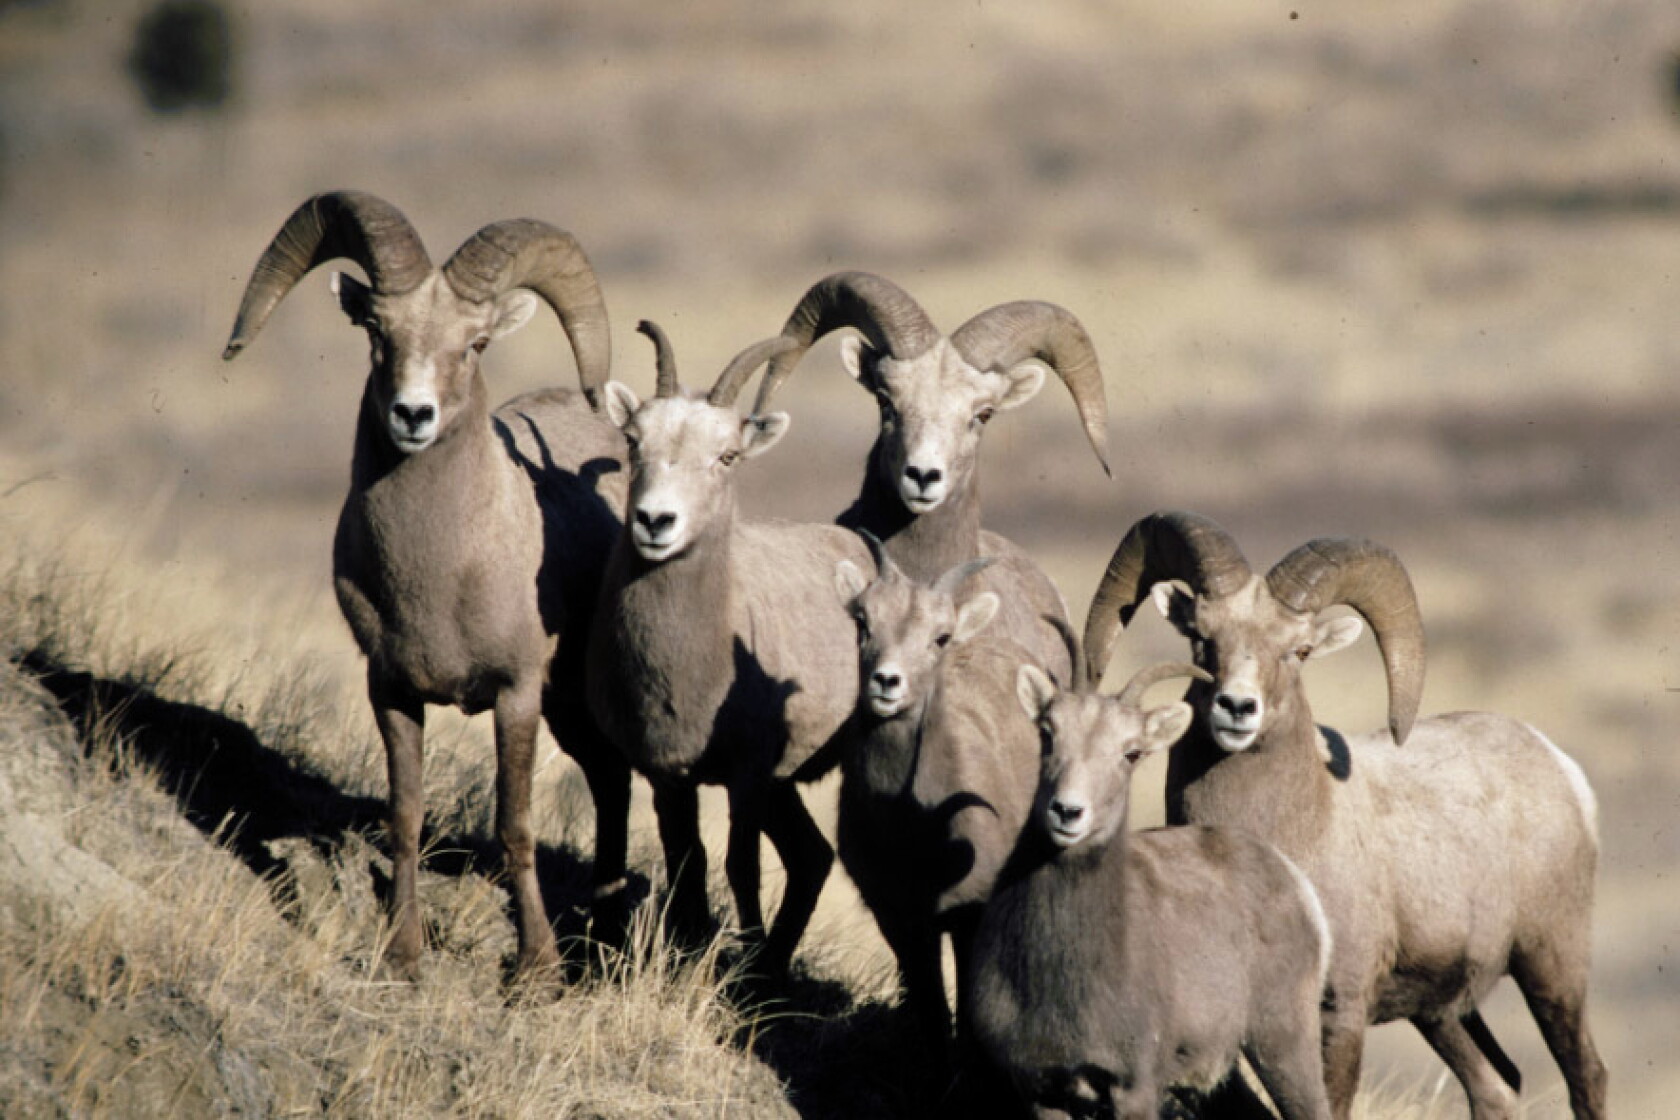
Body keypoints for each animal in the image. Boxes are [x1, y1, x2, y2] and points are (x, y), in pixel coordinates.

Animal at [222, 190, 632, 982]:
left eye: (476, 344)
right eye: (377, 330)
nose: (413, 415)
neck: (442, 572)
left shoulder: (515, 695)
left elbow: (515, 826)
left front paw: (535, 971)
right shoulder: (392, 691)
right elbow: (405, 818)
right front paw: (404, 954)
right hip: (569, 707)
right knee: (610, 783)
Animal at [586, 321, 873, 977]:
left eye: (727, 457)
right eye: (634, 442)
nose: (655, 521)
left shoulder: (746, 775)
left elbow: (741, 868)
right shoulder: (669, 776)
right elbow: (686, 863)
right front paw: (692, 953)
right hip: (783, 788)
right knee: (811, 857)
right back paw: (773, 969)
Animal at [830, 532, 1044, 1066]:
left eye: (941, 637)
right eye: (862, 620)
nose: (887, 682)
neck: (910, 829)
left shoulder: (969, 914)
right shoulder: (899, 916)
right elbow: (930, 1006)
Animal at [967, 658, 1334, 1120]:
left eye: (1132, 753)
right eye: (1048, 734)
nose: (1067, 812)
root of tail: (1294, 882)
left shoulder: (1134, 1088)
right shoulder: (1041, 1090)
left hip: (1283, 1044)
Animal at [1084, 510, 1608, 1120]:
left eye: (1300, 651)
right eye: (1200, 638)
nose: (1236, 708)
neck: (1297, 835)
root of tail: (1558, 764)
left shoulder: (1339, 1013)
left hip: (1552, 968)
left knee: (1586, 1076)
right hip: (1442, 1013)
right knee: (1494, 1086)